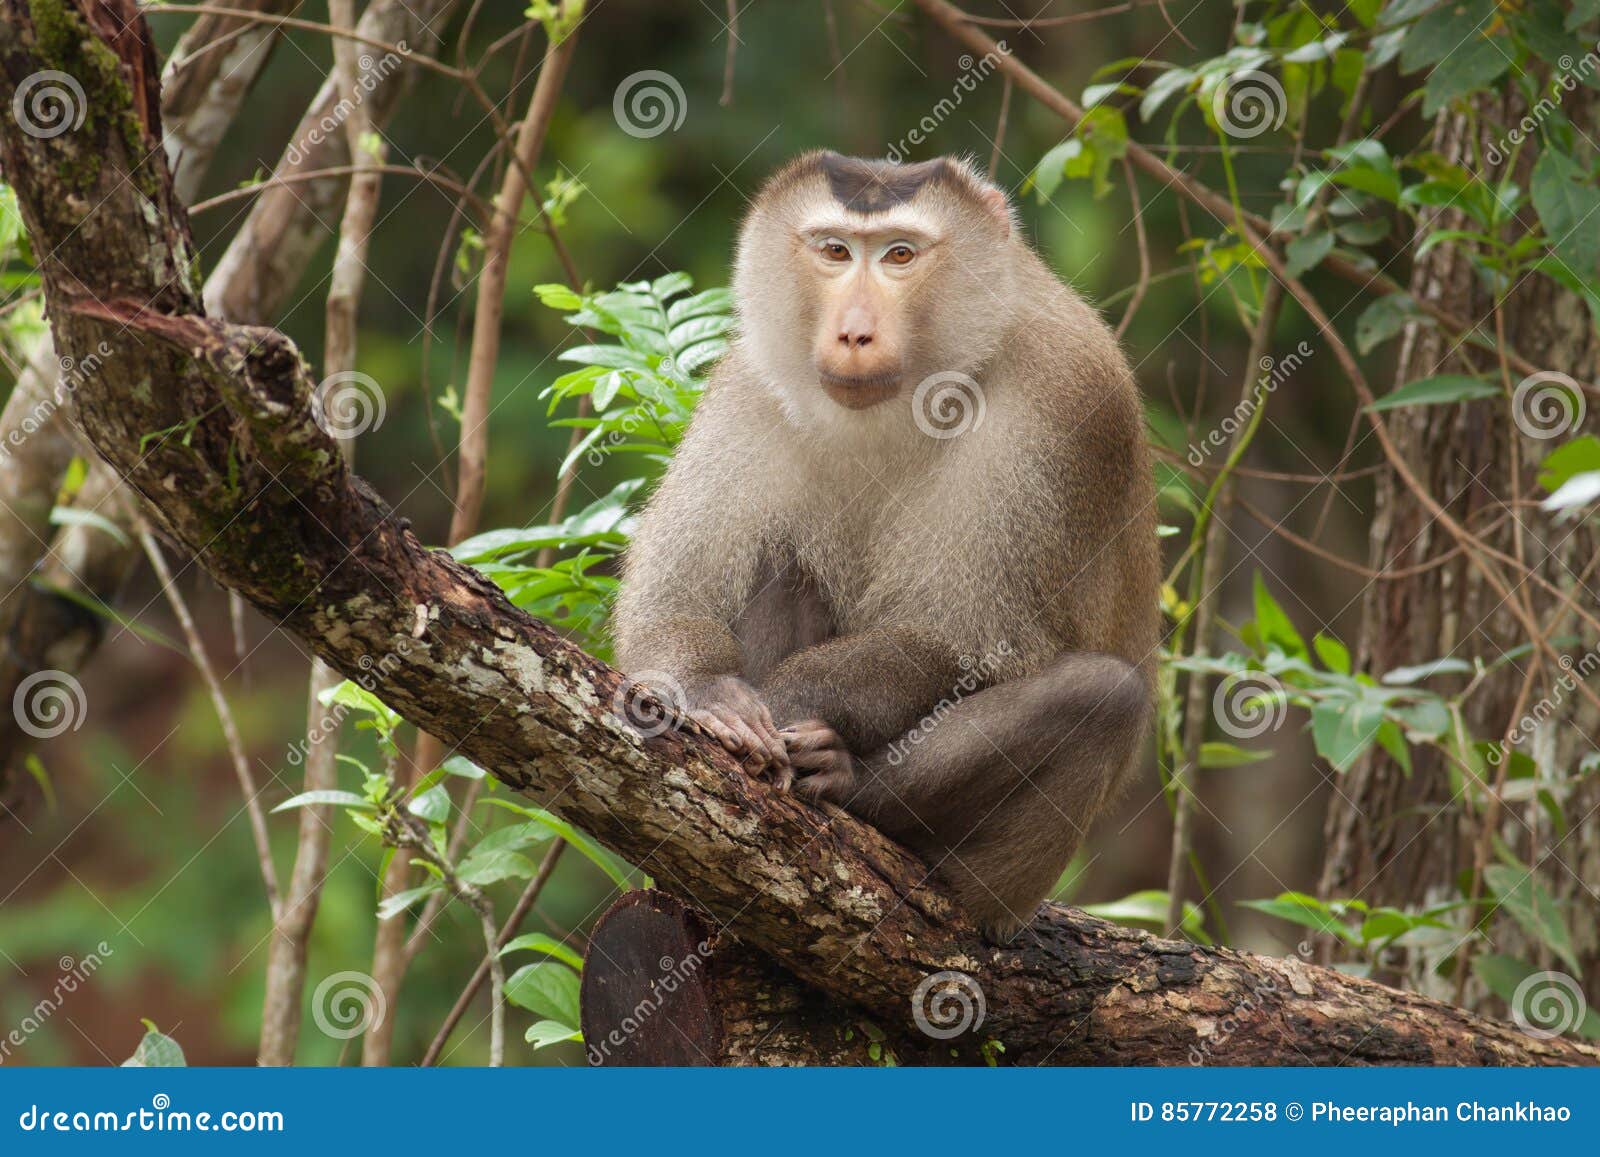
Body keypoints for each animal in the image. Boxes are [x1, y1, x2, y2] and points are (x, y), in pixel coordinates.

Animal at [612, 152, 1159, 939]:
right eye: (836, 251)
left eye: (900, 254)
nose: (854, 334)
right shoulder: (750, 383)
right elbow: (672, 596)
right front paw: (712, 690)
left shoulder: (1059, 395)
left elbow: (962, 638)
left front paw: (785, 702)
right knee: (780, 557)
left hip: (999, 889)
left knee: (1105, 696)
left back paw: (851, 786)